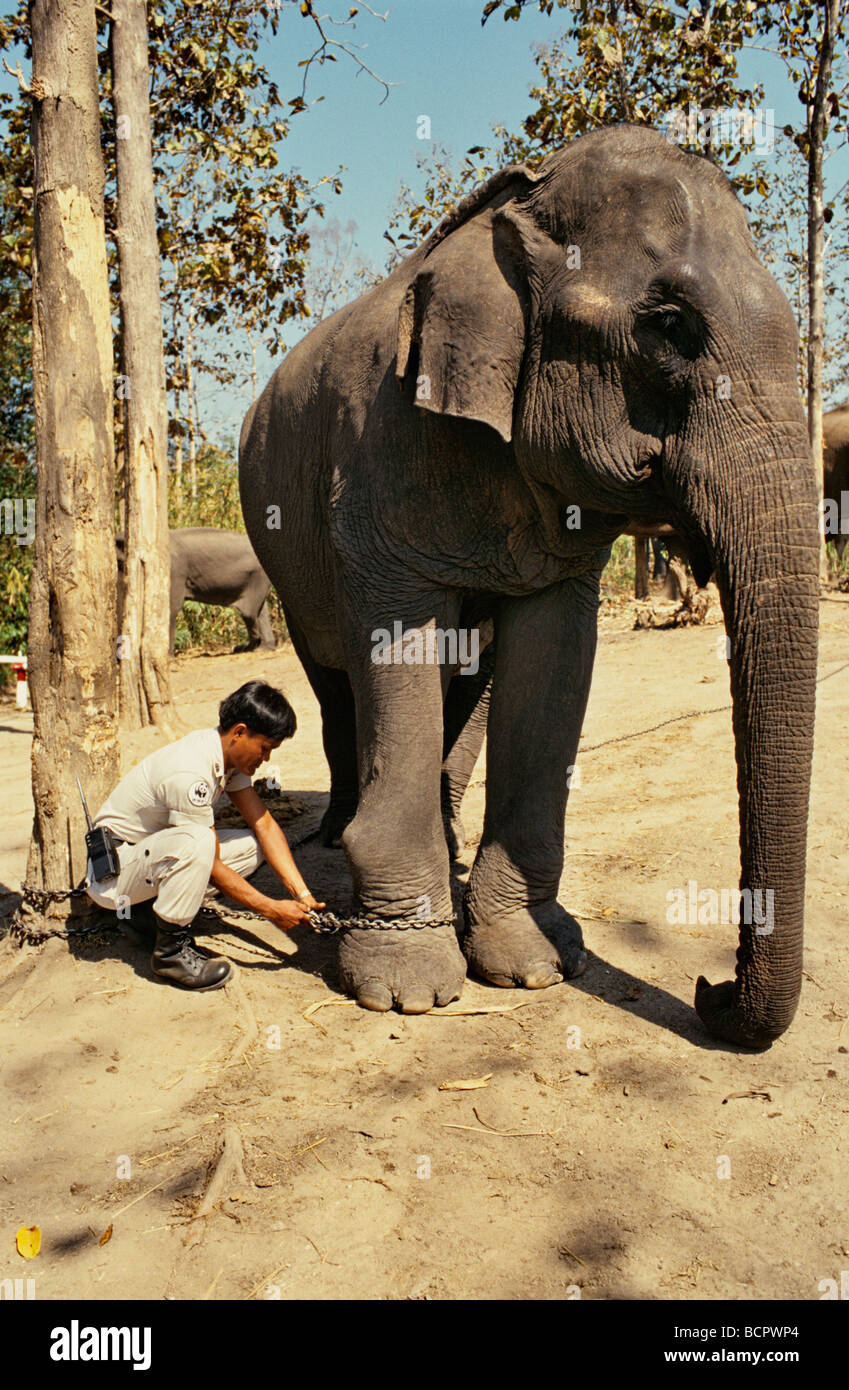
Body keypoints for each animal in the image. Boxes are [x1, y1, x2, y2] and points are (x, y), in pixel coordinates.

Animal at [239, 124, 819, 1046]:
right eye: (668, 327)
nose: (710, 988)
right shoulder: (377, 464)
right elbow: (394, 647)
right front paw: (405, 989)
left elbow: (550, 658)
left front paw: (534, 964)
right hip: (285, 557)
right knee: (332, 686)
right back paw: (335, 832)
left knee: (464, 691)